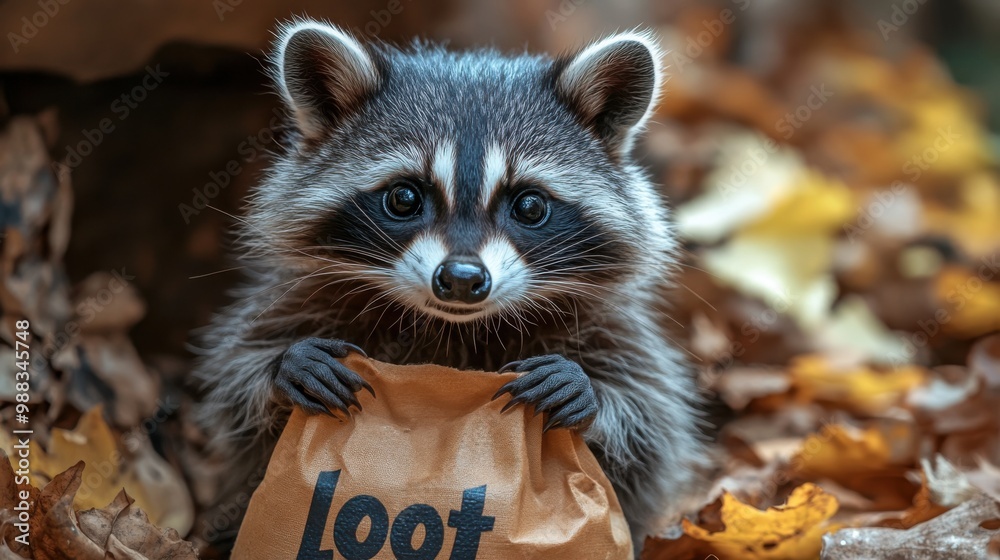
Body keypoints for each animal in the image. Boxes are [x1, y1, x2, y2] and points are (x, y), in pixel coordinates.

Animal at [192, 19, 711, 552]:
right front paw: (284, 364)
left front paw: (586, 387)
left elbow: (650, 425)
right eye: (403, 198)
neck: (453, 325)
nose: (462, 280)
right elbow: (236, 383)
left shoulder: (612, 326)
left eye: (529, 206)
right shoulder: (299, 298)